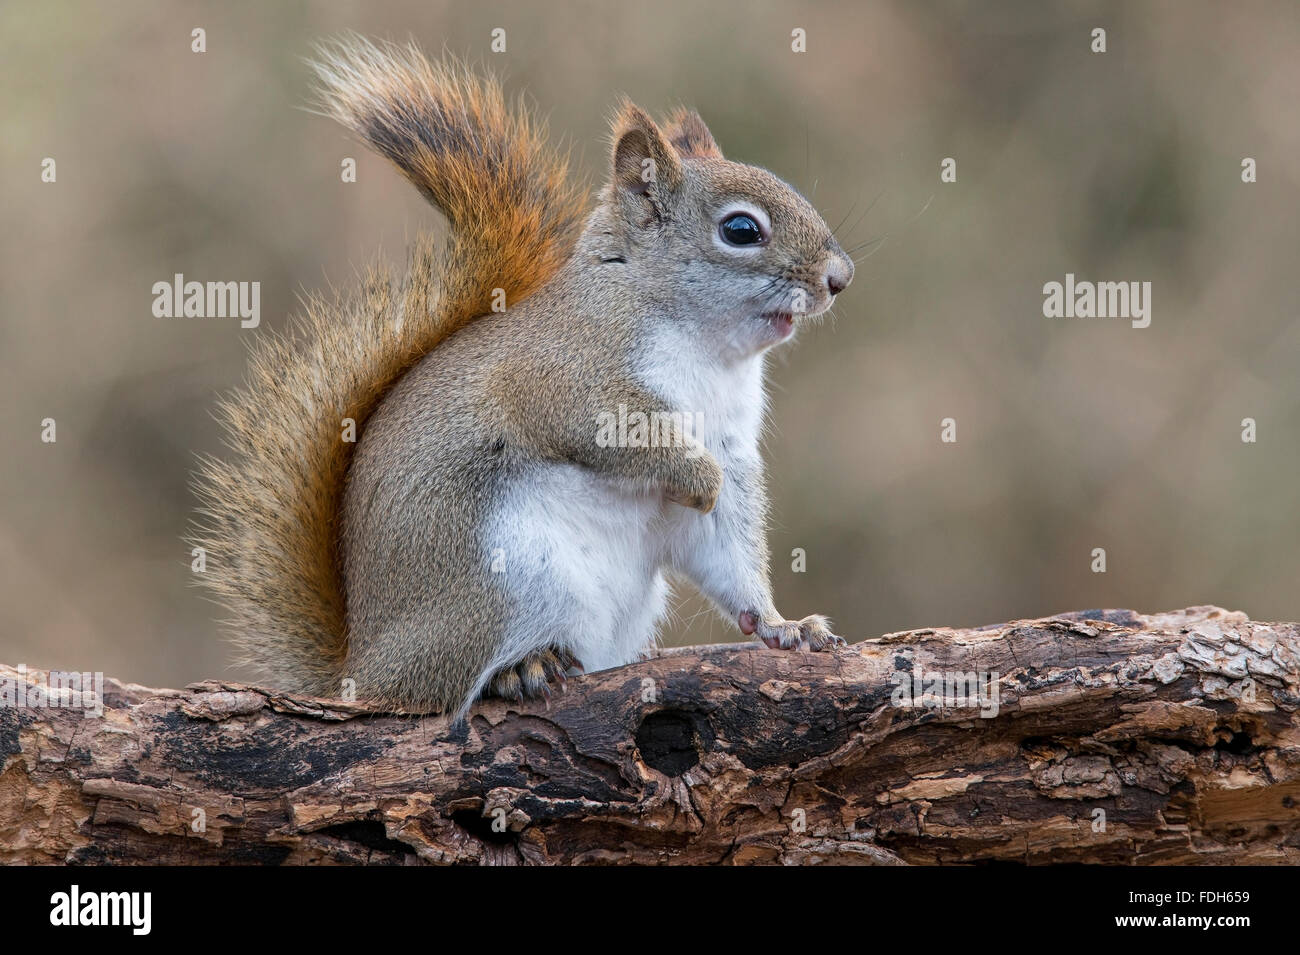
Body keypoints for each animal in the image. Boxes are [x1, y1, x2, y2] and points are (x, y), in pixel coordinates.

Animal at [192, 36, 854, 722]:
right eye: (741, 230)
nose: (840, 278)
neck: (709, 350)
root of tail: (362, 671)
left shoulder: (731, 443)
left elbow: (729, 552)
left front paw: (783, 627)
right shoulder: (567, 379)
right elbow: (617, 437)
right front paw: (698, 479)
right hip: (502, 582)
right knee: (446, 687)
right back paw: (518, 670)